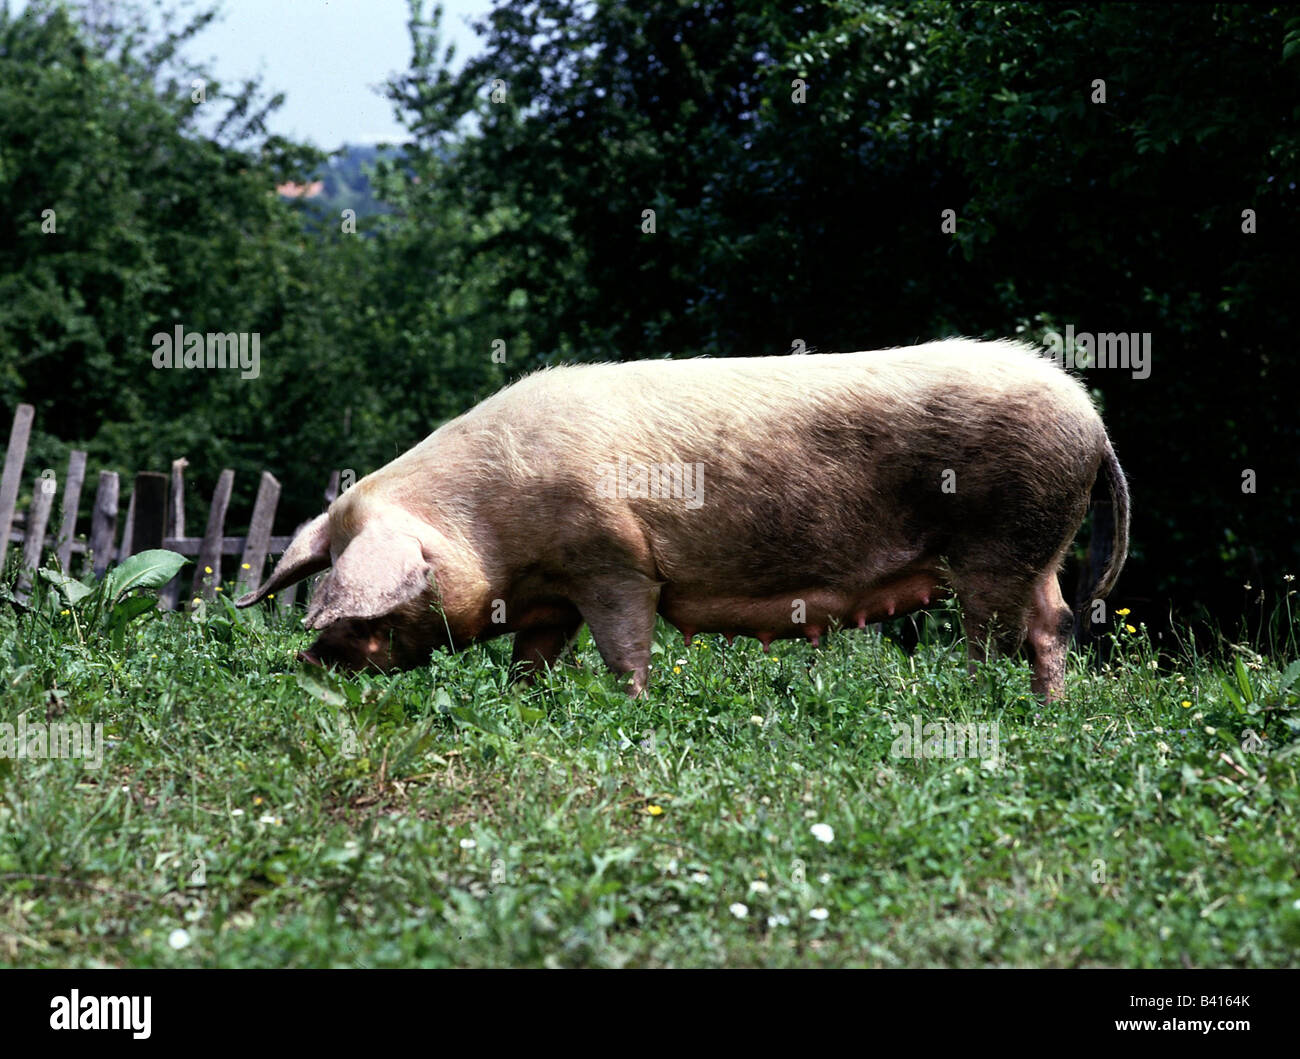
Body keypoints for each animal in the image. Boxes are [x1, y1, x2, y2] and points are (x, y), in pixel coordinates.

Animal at [236, 338, 1129, 701]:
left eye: (372, 605)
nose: (309, 657)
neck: (492, 533)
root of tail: (1093, 419)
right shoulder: (552, 595)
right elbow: (533, 659)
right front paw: (526, 700)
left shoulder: (615, 562)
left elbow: (625, 645)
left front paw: (631, 704)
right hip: (1036, 552)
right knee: (1052, 622)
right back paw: (1049, 712)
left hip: (1000, 543)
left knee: (1009, 633)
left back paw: (982, 700)